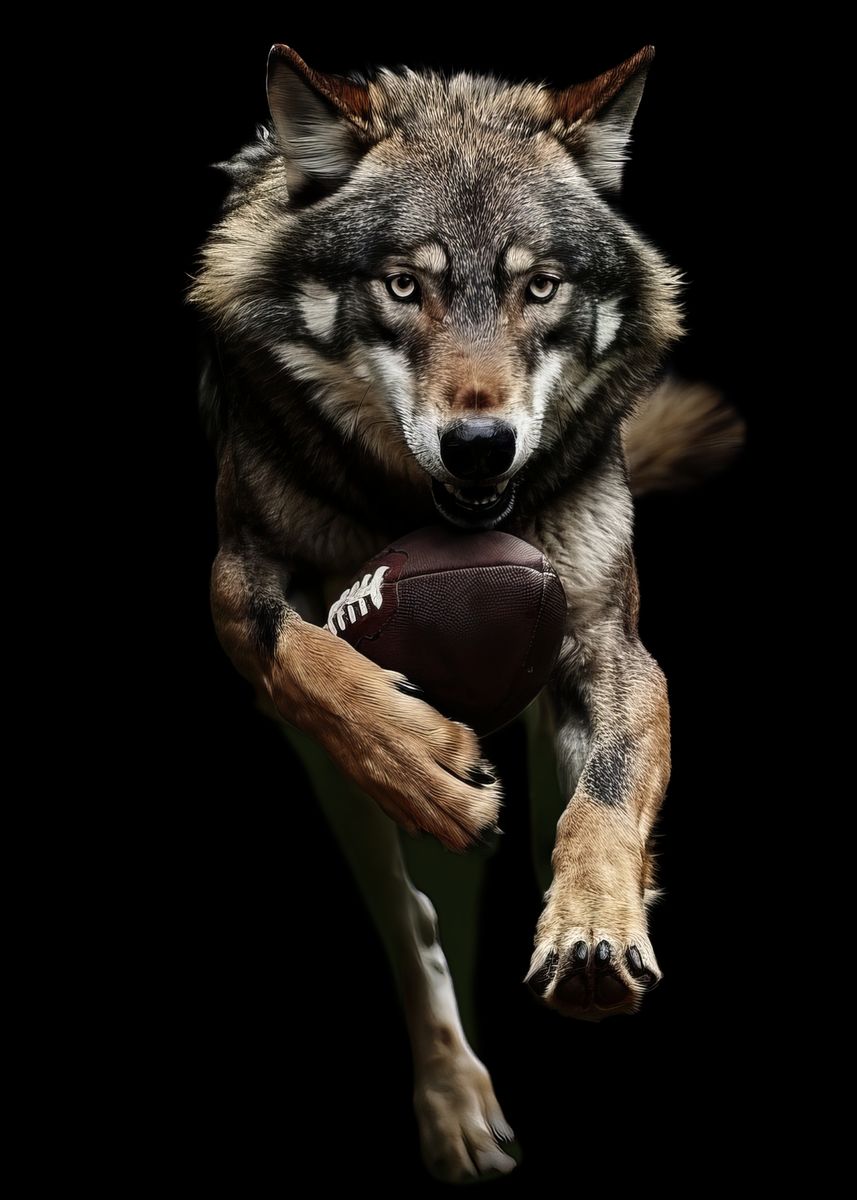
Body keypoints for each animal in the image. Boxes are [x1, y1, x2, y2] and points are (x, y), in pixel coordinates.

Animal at [191, 43, 742, 1182]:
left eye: (540, 286)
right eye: (405, 285)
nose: (479, 448)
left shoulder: (612, 647)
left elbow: (603, 798)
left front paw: (593, 926)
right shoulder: (234, 583)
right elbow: (307, 656)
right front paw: (424, 767)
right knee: (408, 916)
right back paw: (454, 1097)